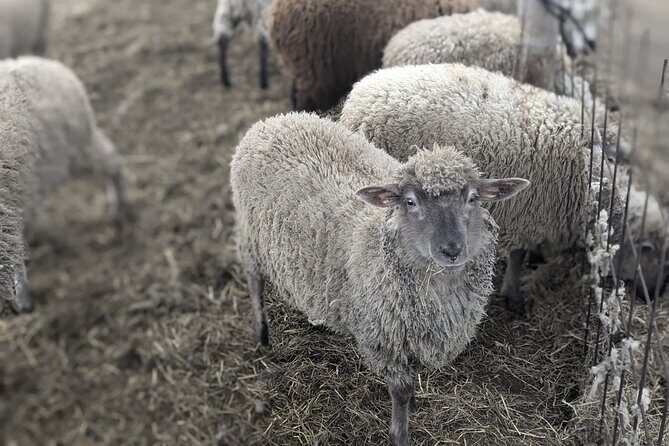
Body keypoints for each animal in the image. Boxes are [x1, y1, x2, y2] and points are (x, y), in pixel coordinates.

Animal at [231, 112, 529, 445]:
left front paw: (414, 404)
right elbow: (400, 389)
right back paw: (262, 337)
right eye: (410, 202)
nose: (451, 250)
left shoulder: (412, 329)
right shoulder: (385, 335)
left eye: (473, 198)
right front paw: (400, 432)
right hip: (251, 239)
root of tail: (274, 120)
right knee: (254, 284)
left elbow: (411, 376)